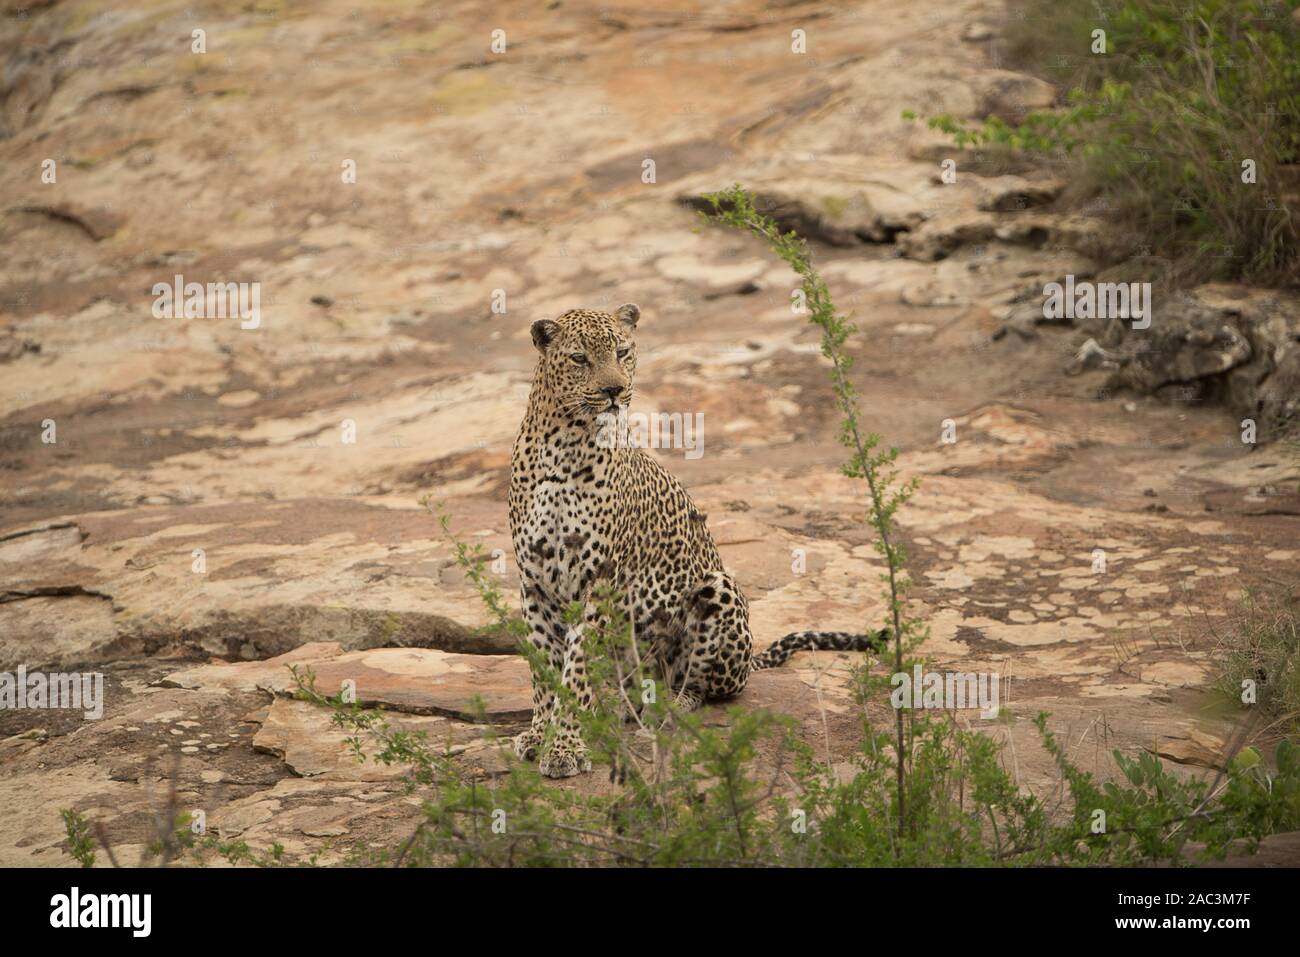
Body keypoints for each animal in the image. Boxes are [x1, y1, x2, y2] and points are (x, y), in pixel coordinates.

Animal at [508, 302, 887, 778]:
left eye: (623, 351)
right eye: (579, 358)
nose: (615, 390)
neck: (562, 445)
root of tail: (749, 660)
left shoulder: (598, 583)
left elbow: (575, 671)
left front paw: (564, 747)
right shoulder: (534, 582)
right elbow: (543, 667)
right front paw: (539, 734)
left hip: (717, 589)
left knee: (707, 688)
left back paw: (663, 704)